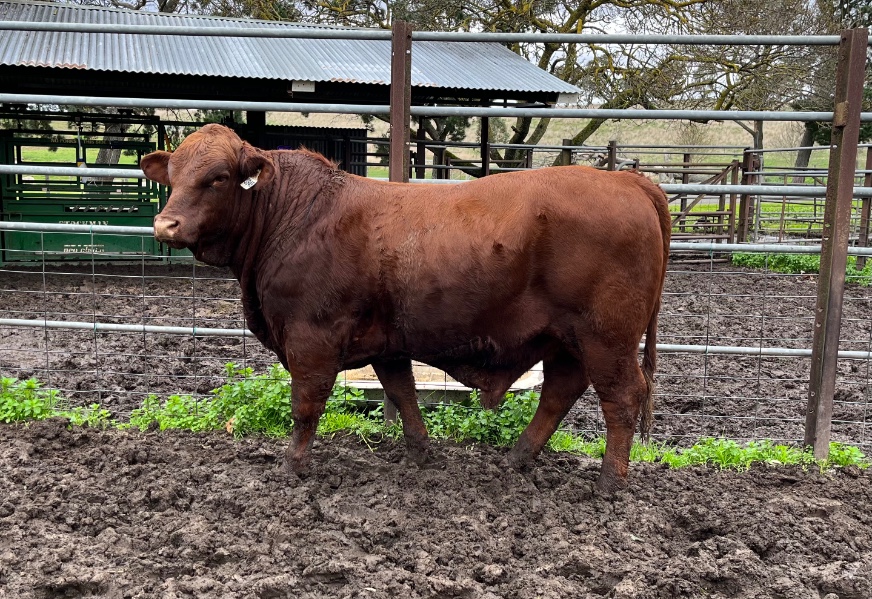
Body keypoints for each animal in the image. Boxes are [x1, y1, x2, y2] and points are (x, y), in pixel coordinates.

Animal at [141, 124, 670, 493]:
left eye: (218, 178)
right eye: (174, 175)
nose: (165, 225)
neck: (292, 216)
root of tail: (628, 181)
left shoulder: (311, 338)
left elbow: (306, 406)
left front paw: (293, 466)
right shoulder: (387, 343)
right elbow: (404, 394)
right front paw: (422, 454)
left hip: (606, 337)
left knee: (622, 398)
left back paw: (609, 482)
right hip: (568, 339)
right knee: (561, 391)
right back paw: (517, 458)